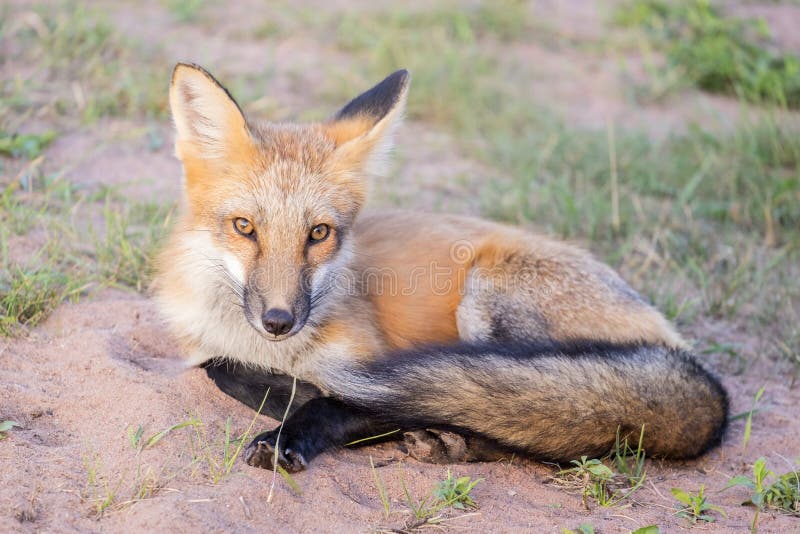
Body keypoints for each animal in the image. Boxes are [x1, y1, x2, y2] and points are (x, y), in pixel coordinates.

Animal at [153, 63, 728, 473]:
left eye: (318, 234)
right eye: (244, 227)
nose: (279, 320)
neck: (272, 353)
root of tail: (680, 349)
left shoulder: (372, 365)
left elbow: (336, 403)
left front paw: (291, 430)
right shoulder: (205, 345)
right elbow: (218, 364)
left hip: (486, 302)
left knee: (540, 426)